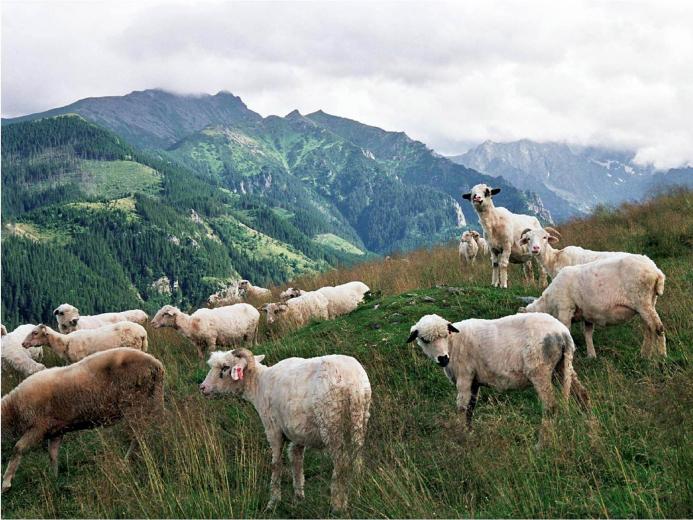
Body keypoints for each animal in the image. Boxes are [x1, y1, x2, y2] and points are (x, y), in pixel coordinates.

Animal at [1, 348, 164, 493]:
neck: (13, 407)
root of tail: (156, 364)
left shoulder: (38, 427)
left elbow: (18, 448)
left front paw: (6, 482)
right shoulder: (56, 430)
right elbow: (52, 454)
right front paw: (54, 478)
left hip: (134, 403)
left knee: (137, 436)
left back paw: (126, 460)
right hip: (148, 400)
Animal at [200, 348, 371, 512]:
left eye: (225, 368)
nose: (202, 387)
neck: (258, 384)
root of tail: (353, 384)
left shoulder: (273, 429)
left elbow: (276, 464)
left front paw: (273, 502)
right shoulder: (298, 433)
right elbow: (296, 460)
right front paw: (299, 497)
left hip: (331, 423)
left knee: (341, 462)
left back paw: (338, 505)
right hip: (360, 418)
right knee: (358, 455)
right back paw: (357, 492)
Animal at [407, 313, 589, 432]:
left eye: (445, 335)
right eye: (424, 339)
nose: (443, 359)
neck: (454, 343)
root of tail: (563, 333)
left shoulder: (465, 376)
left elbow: (462, 407)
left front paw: (461, 435)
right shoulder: (474, 381)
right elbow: (470, 407)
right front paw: (469, 432)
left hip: (540, 370)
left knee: (551, 407)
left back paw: (542, 443)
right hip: (562, 366)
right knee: (581, 393)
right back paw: (588, 422)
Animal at [520, 255, 666, 358]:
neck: (548, 303)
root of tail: (656, 271)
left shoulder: (565, 309)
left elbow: (567, 332)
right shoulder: (588, 314)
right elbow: (588, 334)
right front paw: (591, 355)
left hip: (643, 301)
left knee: (658, 327)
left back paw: (662, 356)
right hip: (650, 302)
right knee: (649, 329)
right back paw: (645, 355)